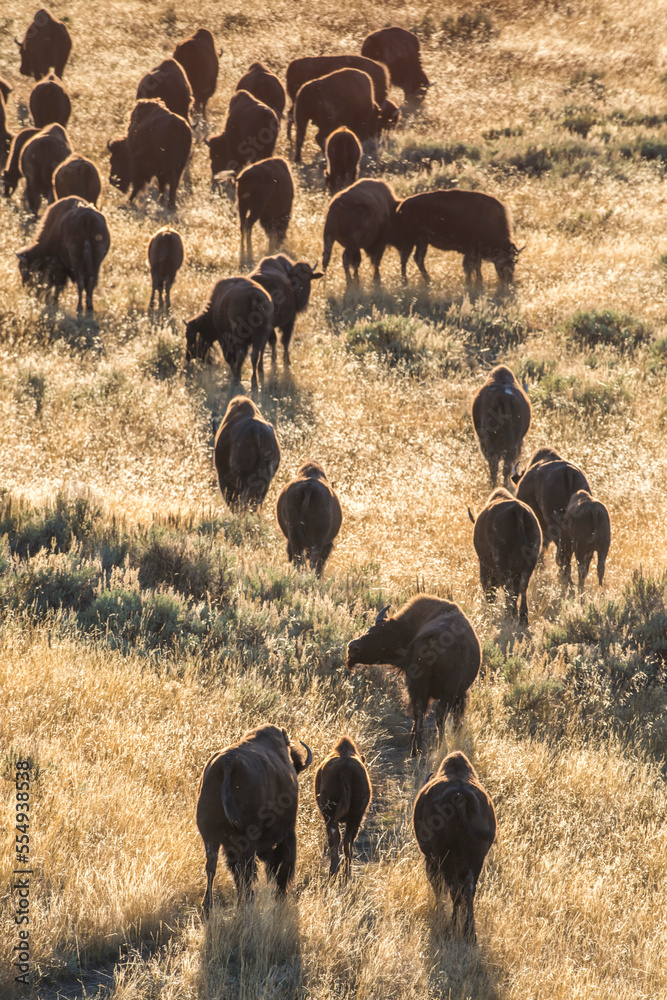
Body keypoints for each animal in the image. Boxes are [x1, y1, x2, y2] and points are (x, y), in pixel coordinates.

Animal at [196, 724, 312, 910]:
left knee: (213, 865)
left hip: (210, 834)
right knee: (245, 868)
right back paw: (247, 901)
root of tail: (229, 763)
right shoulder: (287, 833)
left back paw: (208, 906)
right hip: (247, 837)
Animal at [314, 736, 371, 877]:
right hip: (355, 815)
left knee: (335, 839)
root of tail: (345, 769)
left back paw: (333, 871)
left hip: (331, 815)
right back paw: (346, 872)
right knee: (348, 840)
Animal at [347, 596, 481, 757]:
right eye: (371, 629)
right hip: (447, 691)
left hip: (424, 688)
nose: (352, 647)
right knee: (438, 715)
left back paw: (416, 750)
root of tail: (432, 640)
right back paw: (438, 747)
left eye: (385, 642)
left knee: (420, 712)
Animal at [413, 751, 496, 942]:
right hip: (476, 858)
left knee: (454, 888)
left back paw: (453, 927)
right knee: (468, 889)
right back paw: (470, 933)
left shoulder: (431, 859)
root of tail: (460, 796)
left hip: (445, 857)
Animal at [469, 487, 542, 624]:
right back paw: (523, 617)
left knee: (509, 588)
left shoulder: (485, 566)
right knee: (522, 587)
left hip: (503, 565)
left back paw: (510, 614)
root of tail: (518, 510)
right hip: (529, 564)